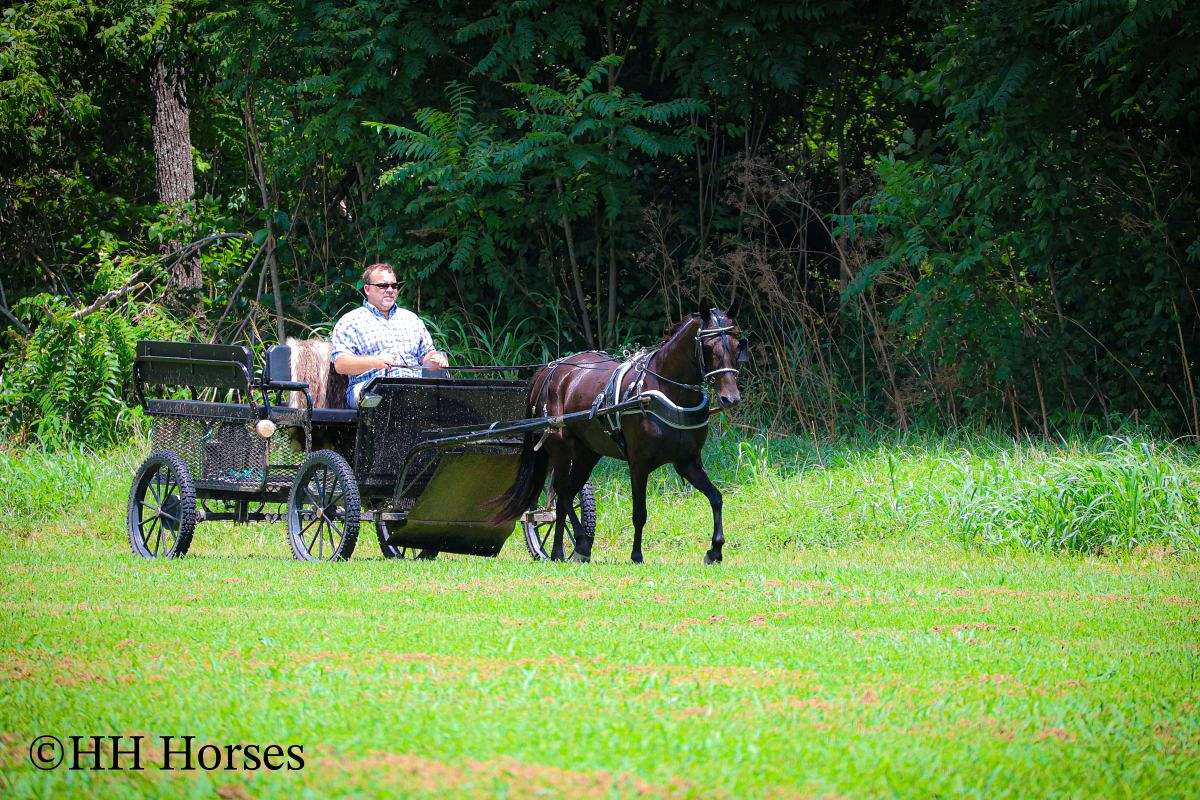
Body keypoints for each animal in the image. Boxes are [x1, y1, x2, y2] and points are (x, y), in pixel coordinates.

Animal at [491, 308, 747, 564]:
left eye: (737, 345)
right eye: (708, 346)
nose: (731, 398)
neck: (665, 392)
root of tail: (550, 370)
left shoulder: (687, 462)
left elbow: (716, 497)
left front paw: (715, 550)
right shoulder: (639, 463)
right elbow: (640, 512)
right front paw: (636, 555)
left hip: (587, 454)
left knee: (567, 495)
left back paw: (576, 547)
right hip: (561, 450)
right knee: (561, 495)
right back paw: (562, 550)